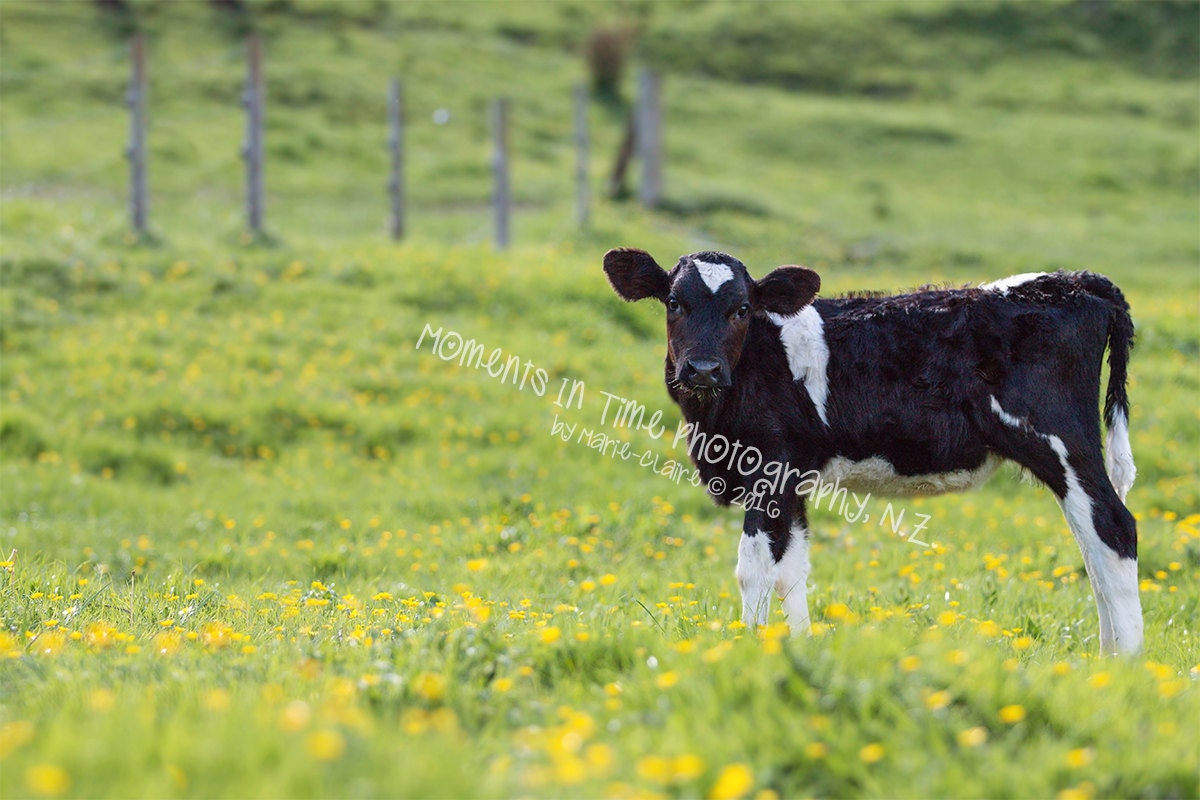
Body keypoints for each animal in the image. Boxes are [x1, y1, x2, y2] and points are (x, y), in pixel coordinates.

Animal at [603, 247, 1141, 655]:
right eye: (674, 302)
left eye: (740, 309)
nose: (702, 369)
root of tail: (1074, 280)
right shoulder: (794, 479)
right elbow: (791, 571)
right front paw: (797, 647)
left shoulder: (769, 470)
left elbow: (753, 567)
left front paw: (747, 646)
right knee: (1093, 552)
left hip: (1062, 442)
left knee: (1113, 530)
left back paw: (1126, 665)